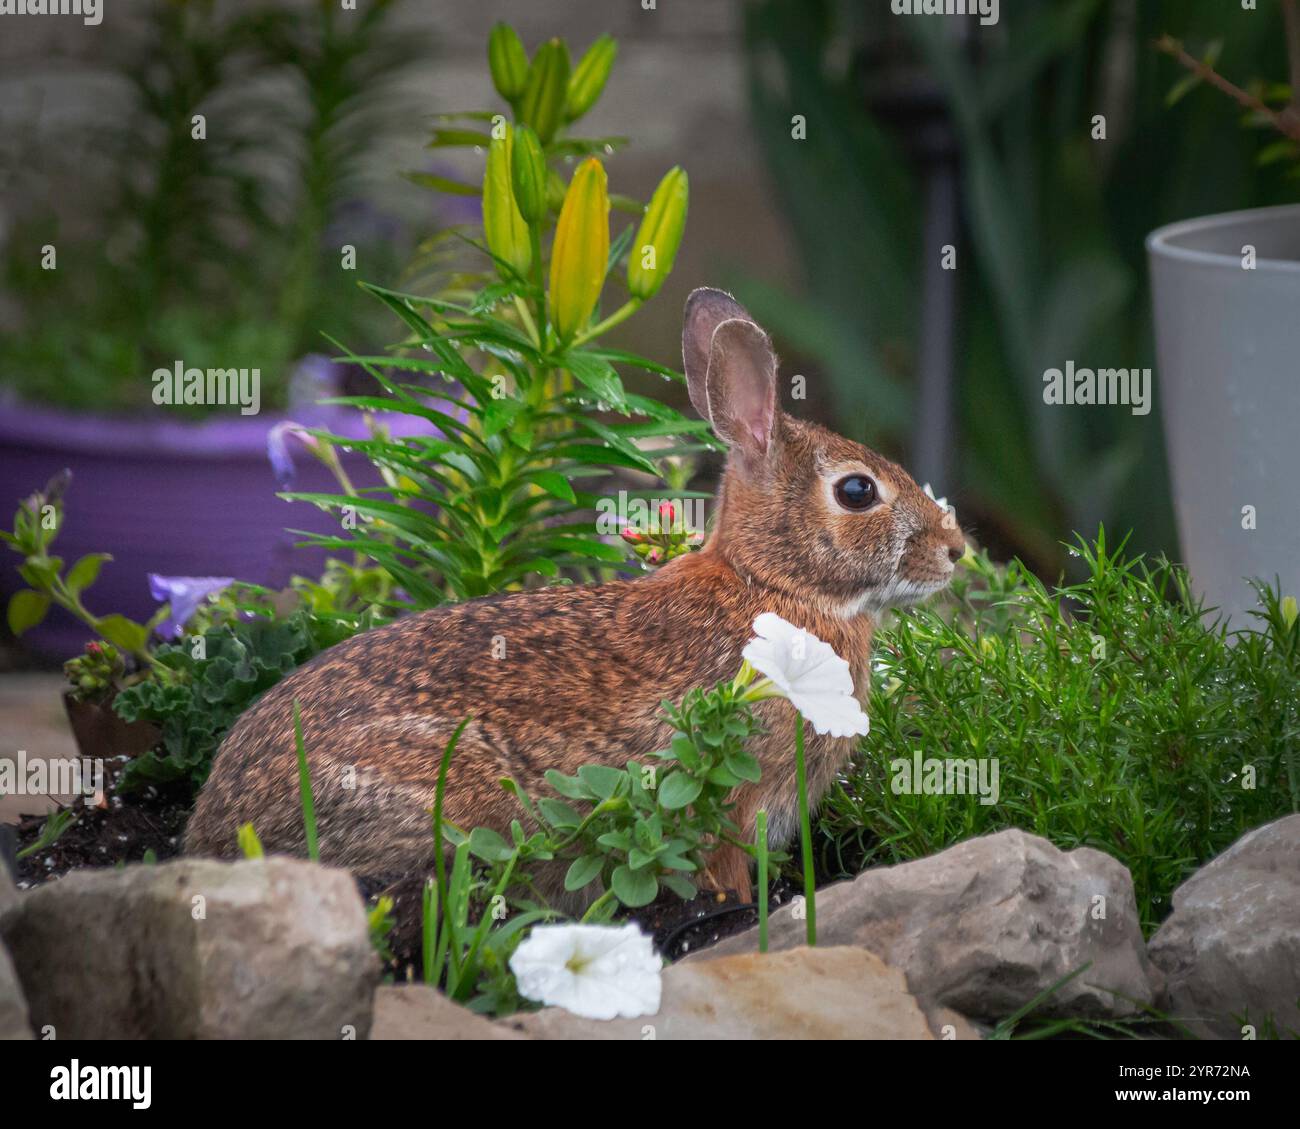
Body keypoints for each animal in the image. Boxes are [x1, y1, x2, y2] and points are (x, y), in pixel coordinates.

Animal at [184, 288, 967, 905]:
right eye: (857, 491)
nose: (955, 551)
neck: (771, 583)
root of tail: (216, 833)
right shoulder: (733, 795)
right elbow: (725, 869)